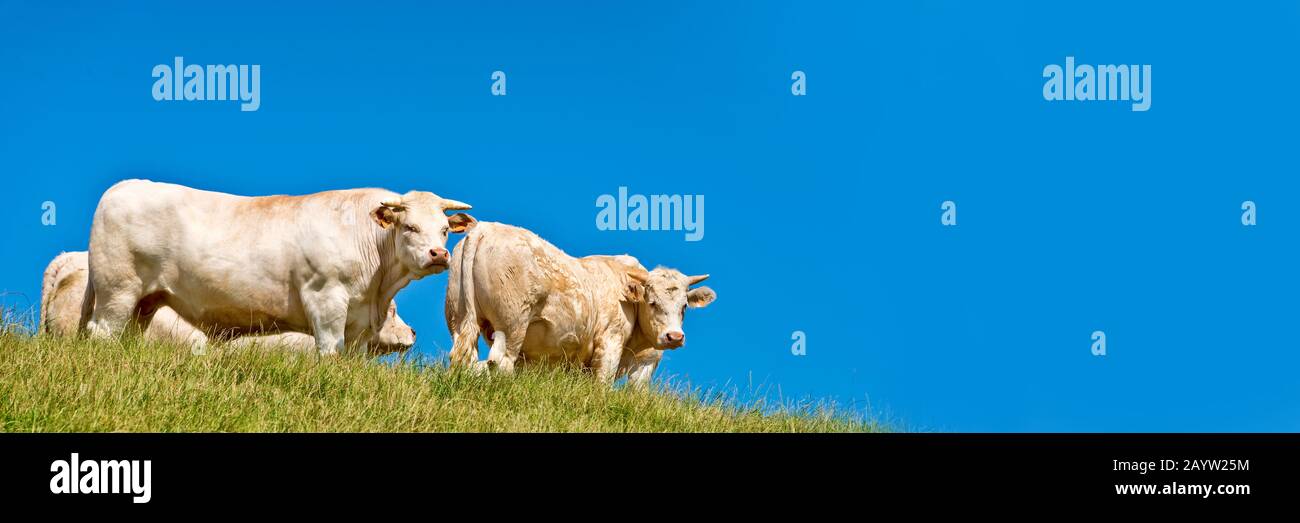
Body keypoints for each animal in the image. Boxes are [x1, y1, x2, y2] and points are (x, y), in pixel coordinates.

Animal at [82, 179, 474, 356]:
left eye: (444, 229)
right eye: (409, 227)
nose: (439, 254)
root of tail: (125, 186)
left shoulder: (361, 321)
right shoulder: (326, 300)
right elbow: (329, 350)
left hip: (145, 301)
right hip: (118, 290)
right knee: (102, 332)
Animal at [444, 221, 716, 385]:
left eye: (684, 306)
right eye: (652, 302)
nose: (674, 337)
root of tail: (485, 228)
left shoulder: (645, 362)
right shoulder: (610, 343)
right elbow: (602, 384)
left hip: (460, 319)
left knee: (464, 358)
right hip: (512, 327)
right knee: (500, 363)